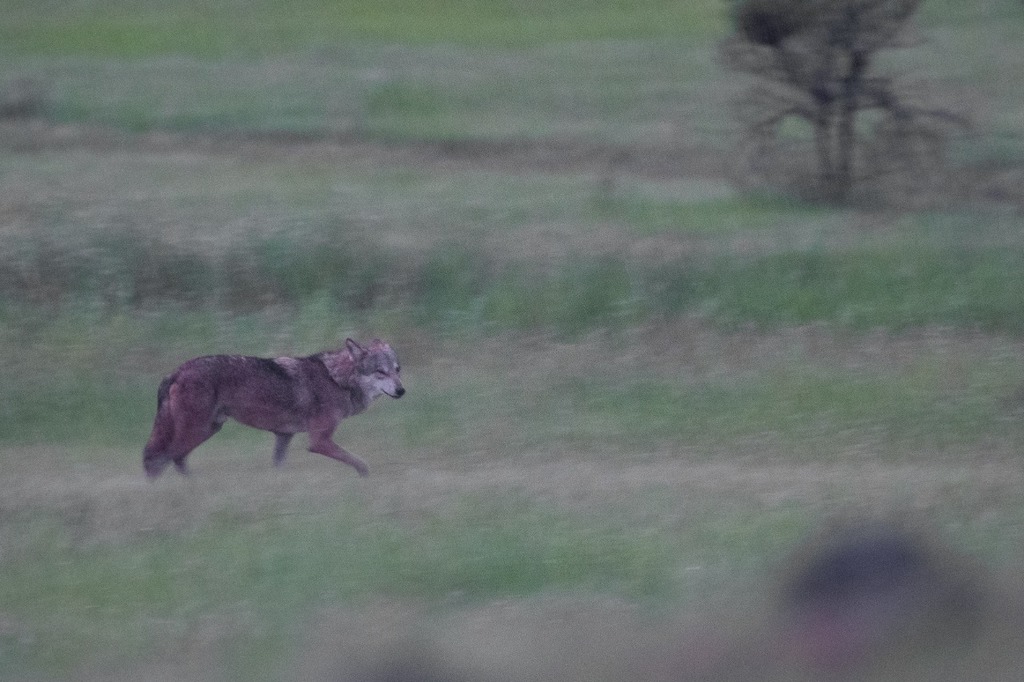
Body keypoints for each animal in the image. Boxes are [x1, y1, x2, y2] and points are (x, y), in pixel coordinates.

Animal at [143, 338, 404, 478]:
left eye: (397, 370)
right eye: (380, 372)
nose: (402, 391)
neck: (336, 379)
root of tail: (176, 371)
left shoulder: (283, 436)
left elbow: (278, 466)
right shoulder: (319, 442)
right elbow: (361, 463)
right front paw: (366, 479)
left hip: (208, 429)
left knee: (165, 458)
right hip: (199, 430)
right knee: (166, 457)